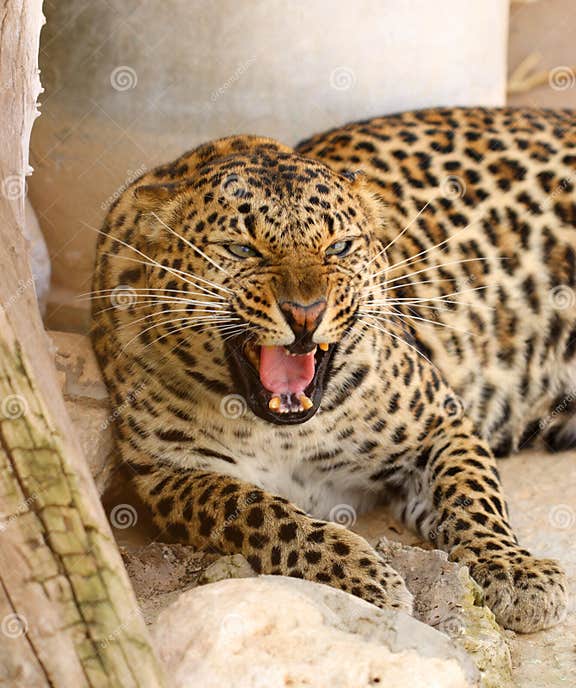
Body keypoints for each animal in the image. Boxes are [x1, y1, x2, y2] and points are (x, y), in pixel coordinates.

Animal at [91, 107, 575, 633]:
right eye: (243, 250)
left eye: (339, 247)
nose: (305, 313)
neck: (283, 431)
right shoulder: (170, 472)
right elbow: (255, 510)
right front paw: (363, 573)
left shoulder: (442, 421)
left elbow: (471, 493)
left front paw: (513, 570)